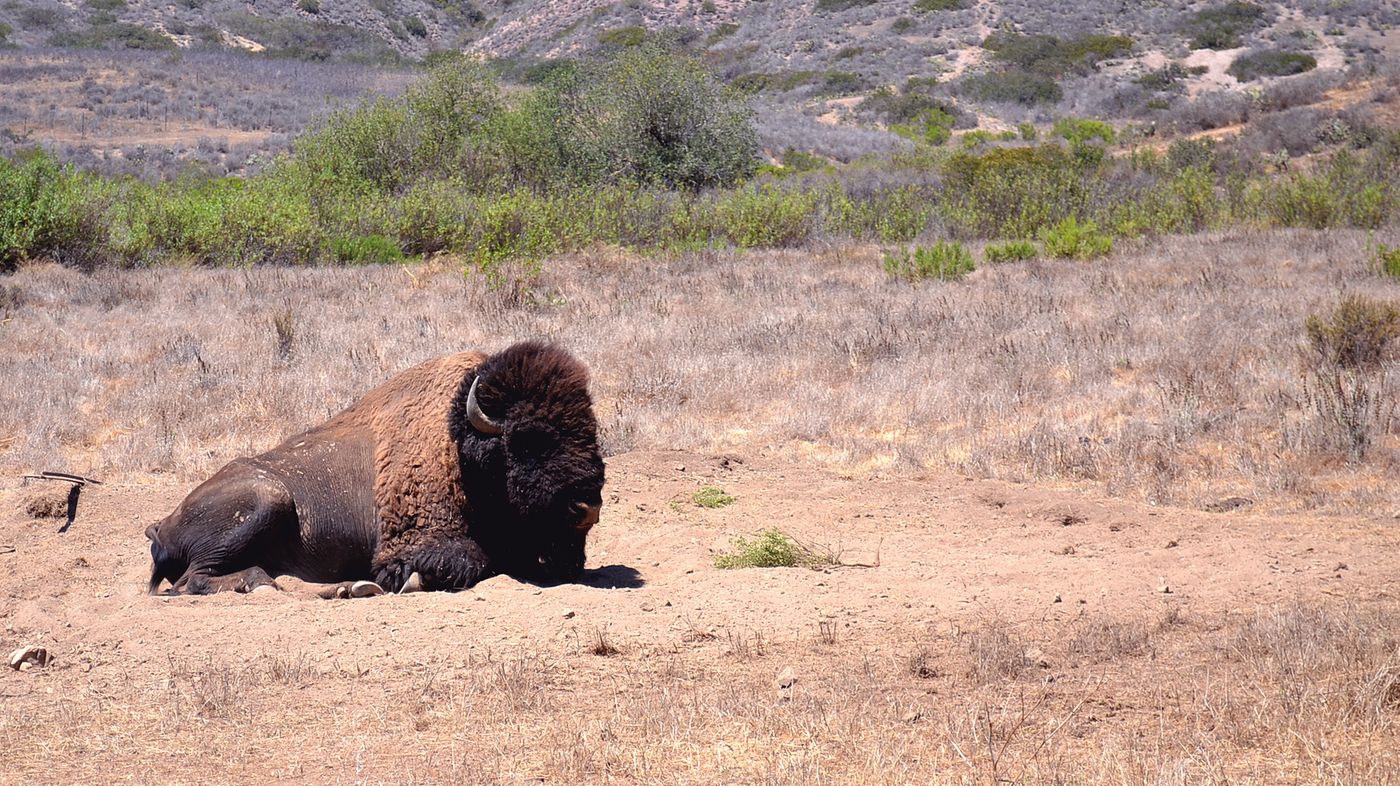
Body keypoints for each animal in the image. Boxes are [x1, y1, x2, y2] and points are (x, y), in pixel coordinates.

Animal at [146, 342, 606, 595]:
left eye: (591, 431)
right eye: (527, 442)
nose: (587, 508)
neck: (459, 444)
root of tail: (162, 526)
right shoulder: (416, 544)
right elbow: (466, 562)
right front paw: (414, 581)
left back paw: (351, 588)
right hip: (265, 501)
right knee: (194, 580)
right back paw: (261, 585)